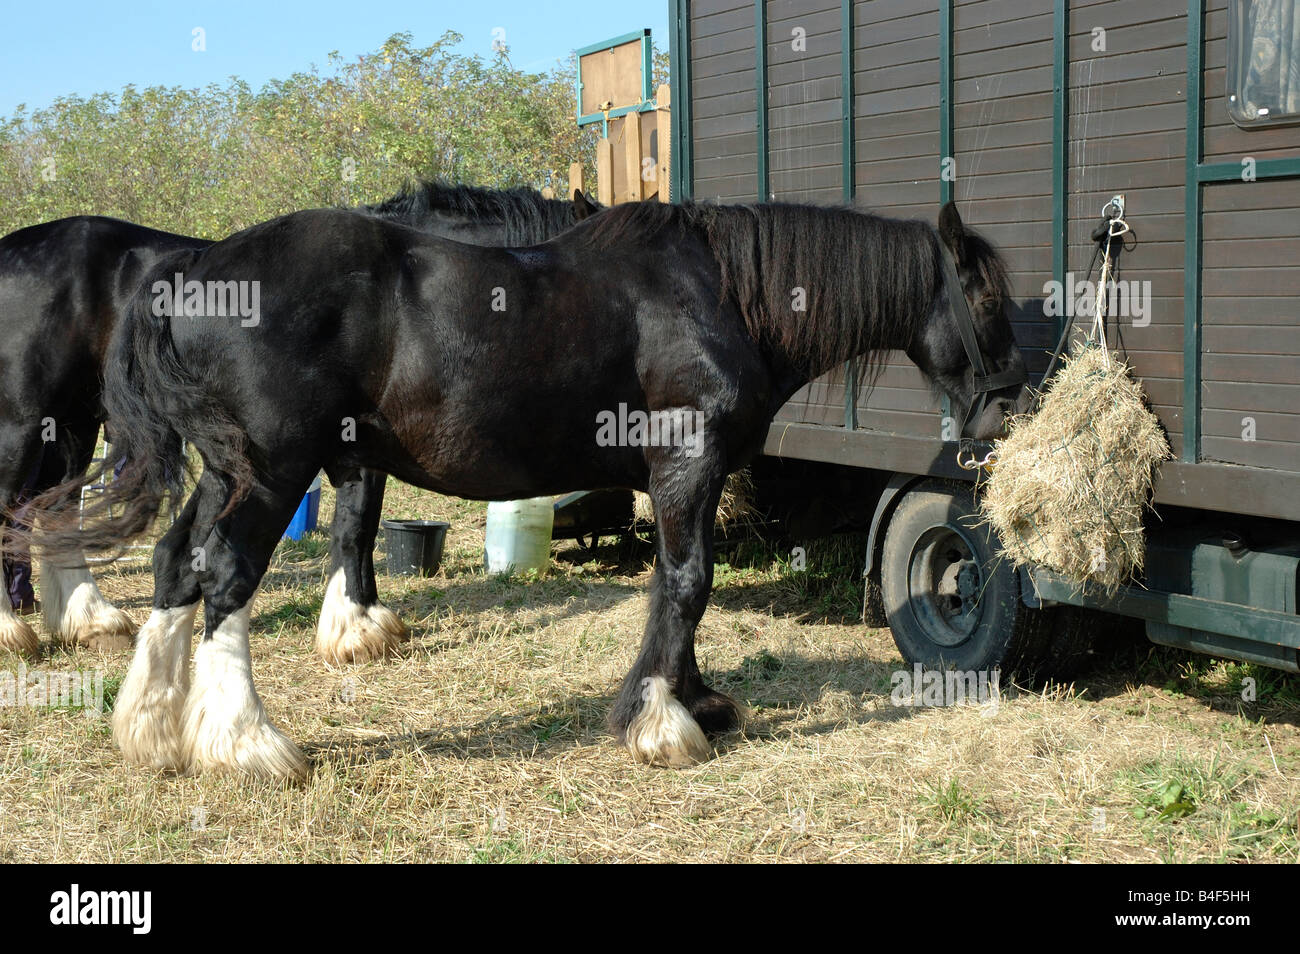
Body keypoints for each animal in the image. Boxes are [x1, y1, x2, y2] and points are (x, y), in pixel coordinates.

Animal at [0, 182, 598, 660]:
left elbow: (352, 526)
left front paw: (354, 620)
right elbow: (357, 526)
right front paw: (358, 627)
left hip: (74, 424)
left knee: (55, 511)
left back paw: (89, 621)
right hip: (23, 424)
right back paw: (14, 631)